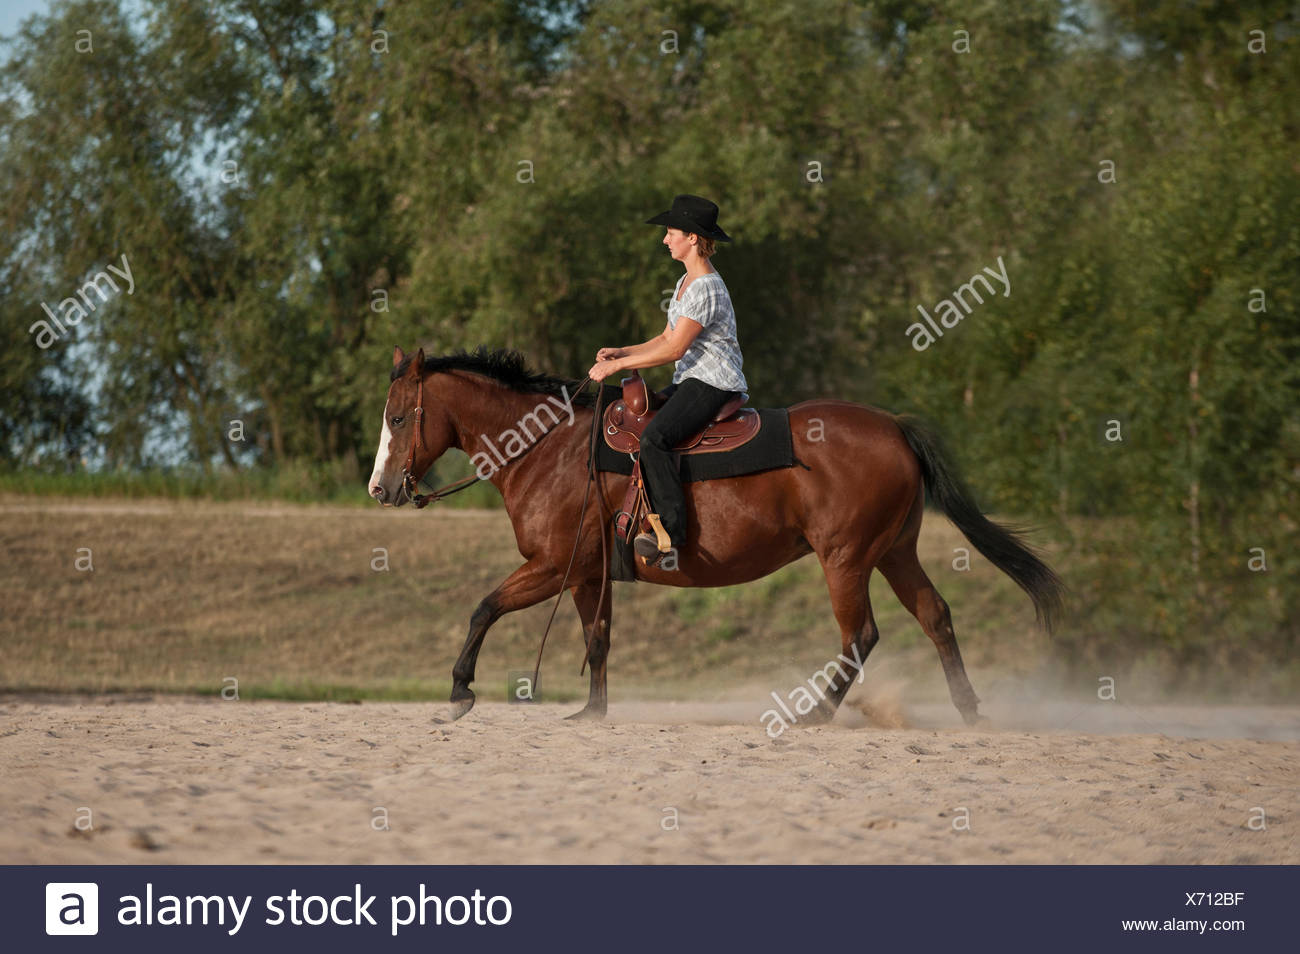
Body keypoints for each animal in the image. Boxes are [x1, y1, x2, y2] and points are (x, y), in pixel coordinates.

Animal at [367, 345, 1063, 725]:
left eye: (398, 417)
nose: (380, 489)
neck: (551, 451)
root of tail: (892, 426)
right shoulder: (586, 574)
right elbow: (598, 639)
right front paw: (591, 711)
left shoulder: (547, 566)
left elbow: (484, 607)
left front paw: (460, 690)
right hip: (894, 552)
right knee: (936, 615)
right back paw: (969, 710)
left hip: (845, 559)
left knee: (860, 635)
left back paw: (815, 714)